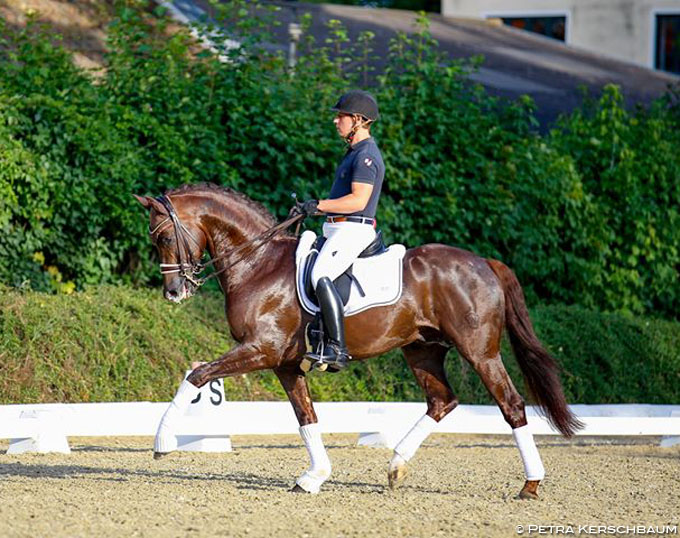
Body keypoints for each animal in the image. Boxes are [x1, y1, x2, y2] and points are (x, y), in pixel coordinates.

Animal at [135, 183, 582, 498]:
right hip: (422, 350)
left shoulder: (261, 351)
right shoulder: (283, 363)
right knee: (442, 401)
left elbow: (196, 376)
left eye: (164, 238)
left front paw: (162, 443)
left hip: (479, 351)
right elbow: (306, 417)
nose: (174, 293)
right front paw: (314, 477)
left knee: (511, 404)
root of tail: (483, 262)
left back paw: (530, 485)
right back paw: (395, 466)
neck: (257, 264)